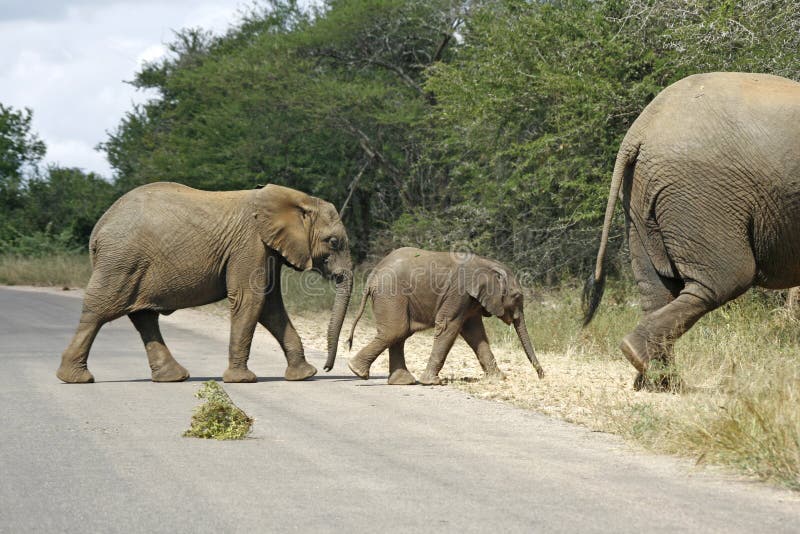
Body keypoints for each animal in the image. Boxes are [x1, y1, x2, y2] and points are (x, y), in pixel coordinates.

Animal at [57, 182, 353, 384]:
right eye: (333, 242)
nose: (328, 368)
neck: (296, 199)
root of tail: (97, 230)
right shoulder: (250, 244)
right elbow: (250, 300)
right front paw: (242, 380)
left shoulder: (266, 248)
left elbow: (270, 306)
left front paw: (304, 375)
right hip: (121, 261)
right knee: (98, 311)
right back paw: (75, 379)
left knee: (144, 316)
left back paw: (174, 377)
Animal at [345, 247, 544, 385]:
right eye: (517, 296)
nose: (542, 375)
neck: (486, 263)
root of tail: (372, 274)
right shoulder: (458, 292)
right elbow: (449, 326)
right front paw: (431, 382)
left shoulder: (470, 300)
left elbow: (475, 334)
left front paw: (499, 378)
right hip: (390, 293)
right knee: (396, 331)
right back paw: (356, 370)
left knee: (399, 333)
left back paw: (400, 381)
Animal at [583, 72, 800, 390]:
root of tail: (640, 130)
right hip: (702, 192)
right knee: (725, 278)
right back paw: (647, 364)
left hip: (640, 196)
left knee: (658, 288)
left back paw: (657, 379)